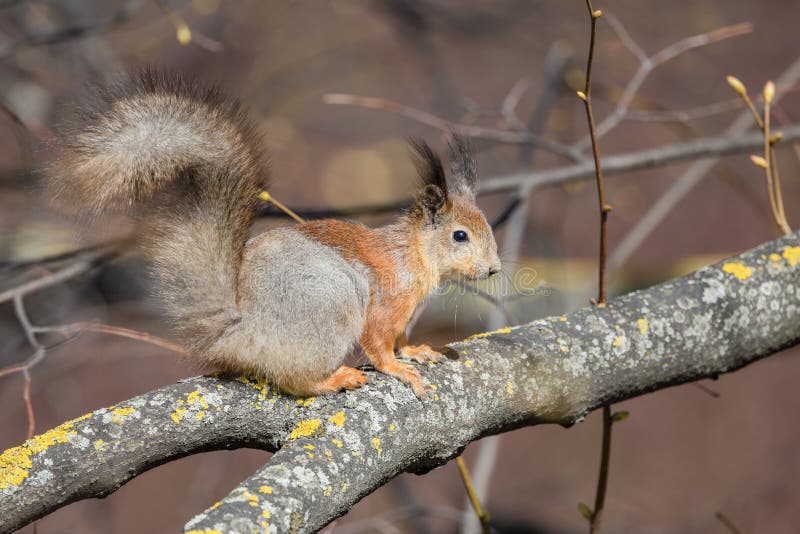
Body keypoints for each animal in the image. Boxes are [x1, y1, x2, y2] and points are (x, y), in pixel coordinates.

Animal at [50, 70, 501, 398]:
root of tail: (242, 334)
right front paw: (398, 369)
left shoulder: (404, 313)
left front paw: (416, 351)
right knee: (295, 381)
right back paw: (334, 379)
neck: (415, 253)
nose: (494, 270)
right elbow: (378, 343)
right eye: (460, 236)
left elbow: (400, 338)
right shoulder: (386, 299)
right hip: (331, 301)